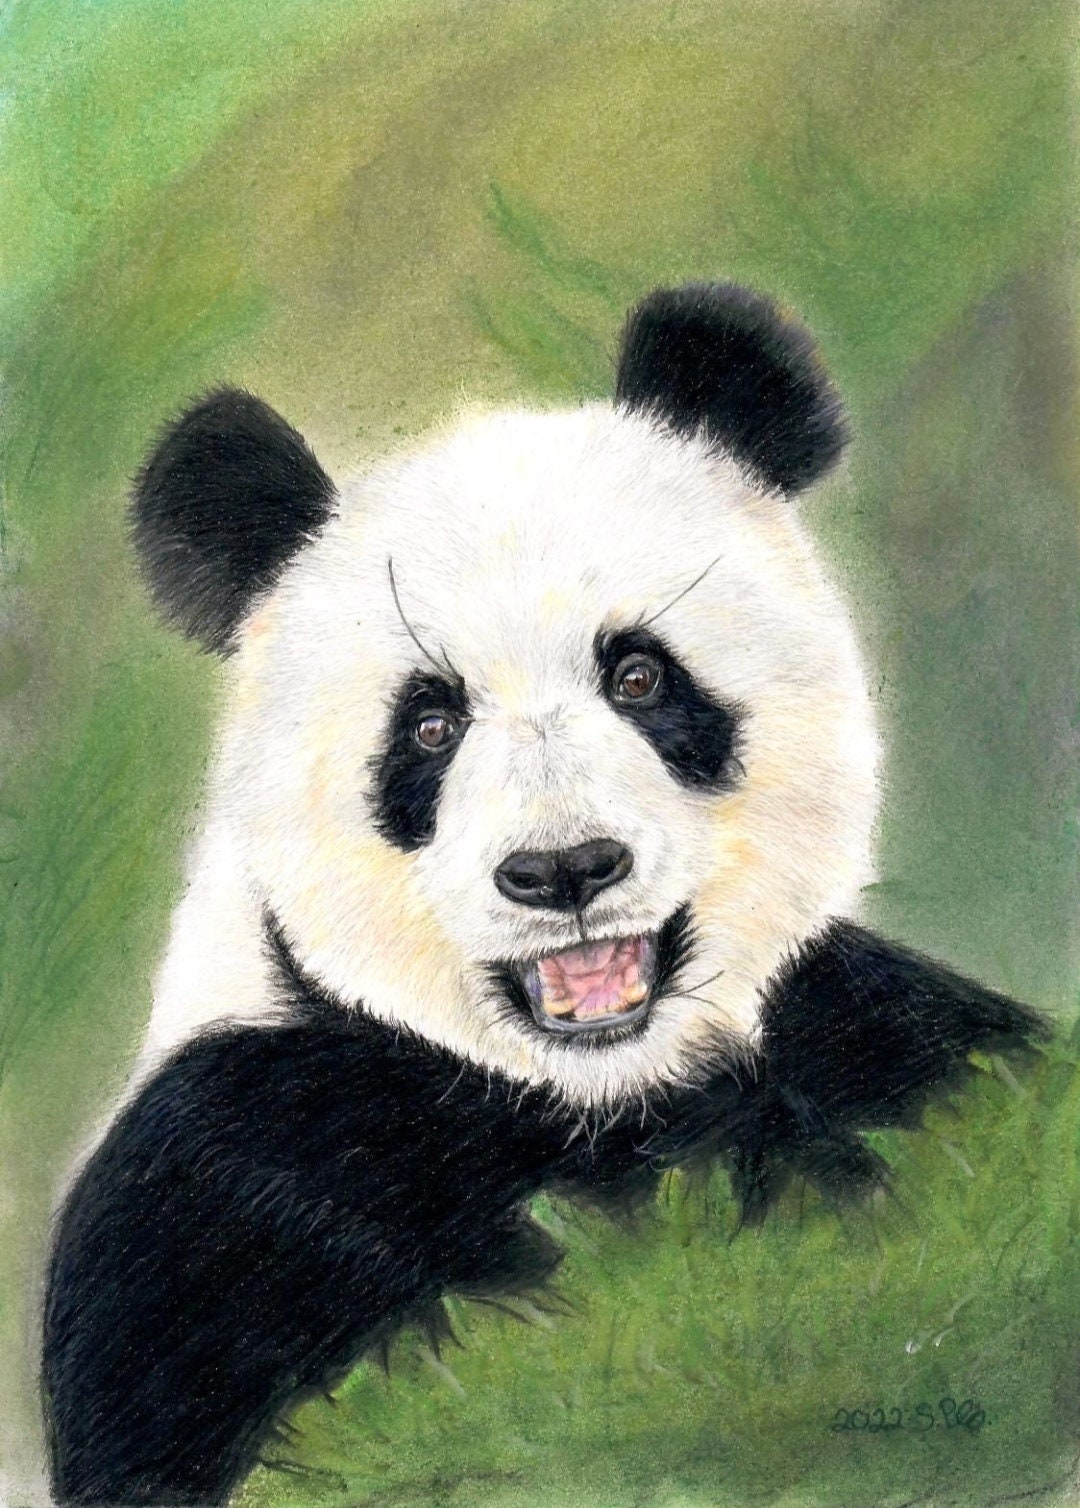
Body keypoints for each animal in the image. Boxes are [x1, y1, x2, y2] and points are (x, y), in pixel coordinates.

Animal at [42, 283, 1043, 1506]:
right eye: (430, 723)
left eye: (640, 675)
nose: (564, 869)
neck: (596, 1098)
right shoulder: (222, 1183)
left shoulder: (871, 1038)